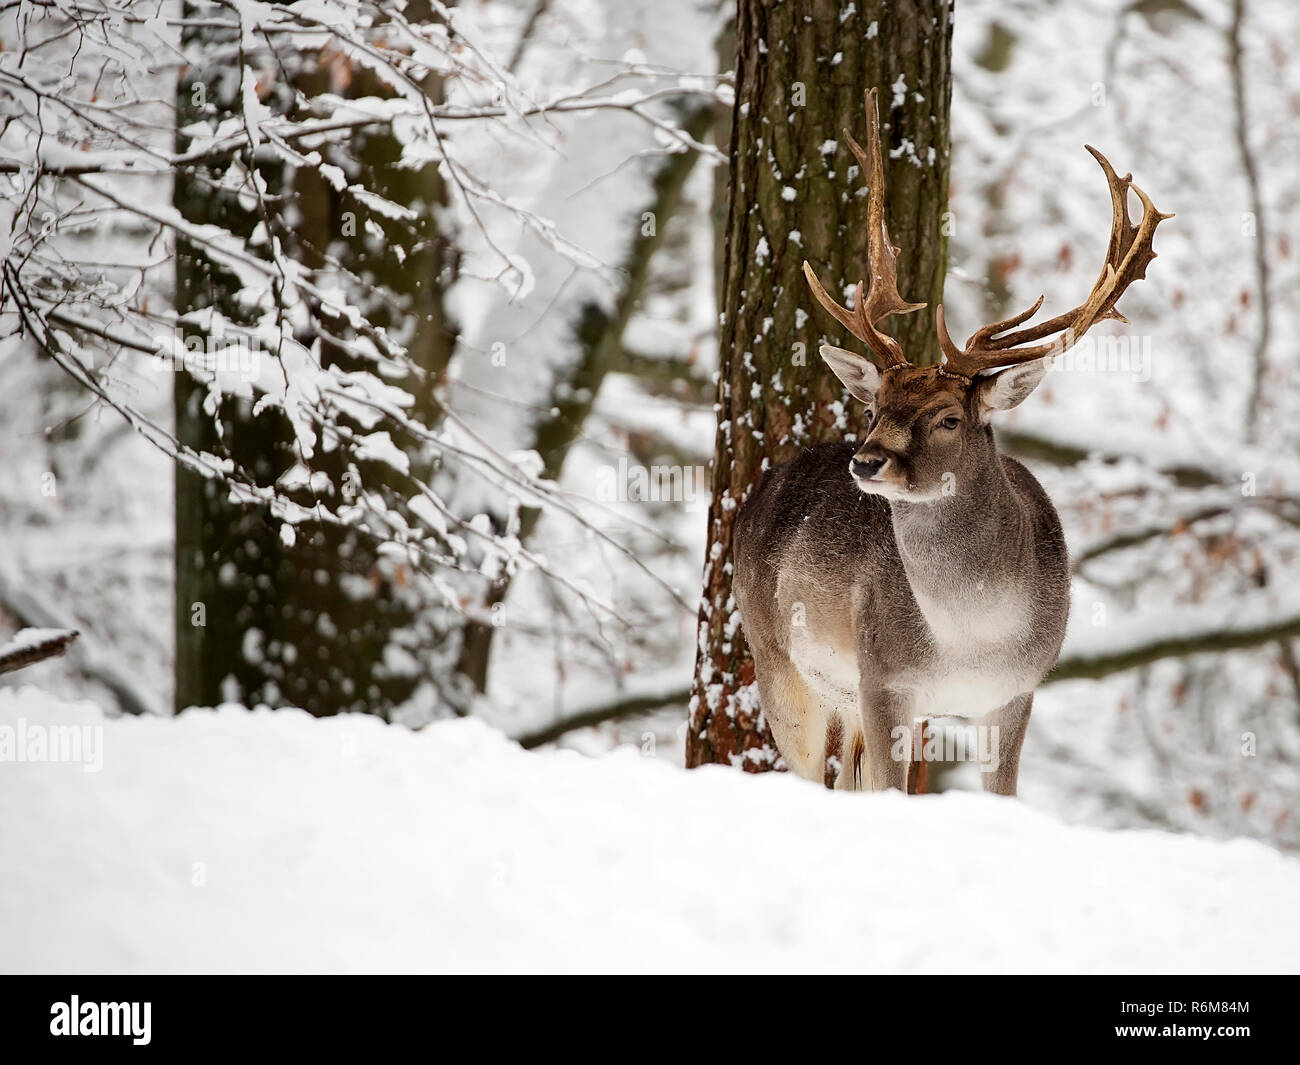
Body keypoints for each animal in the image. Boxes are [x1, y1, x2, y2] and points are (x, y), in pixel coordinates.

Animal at [732, 88, 1170, 796]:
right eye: (874, 406)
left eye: (947, 418)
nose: (867, 460)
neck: (972, 641)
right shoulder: (885, 677)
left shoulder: (1016, 691)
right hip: (778, 658)